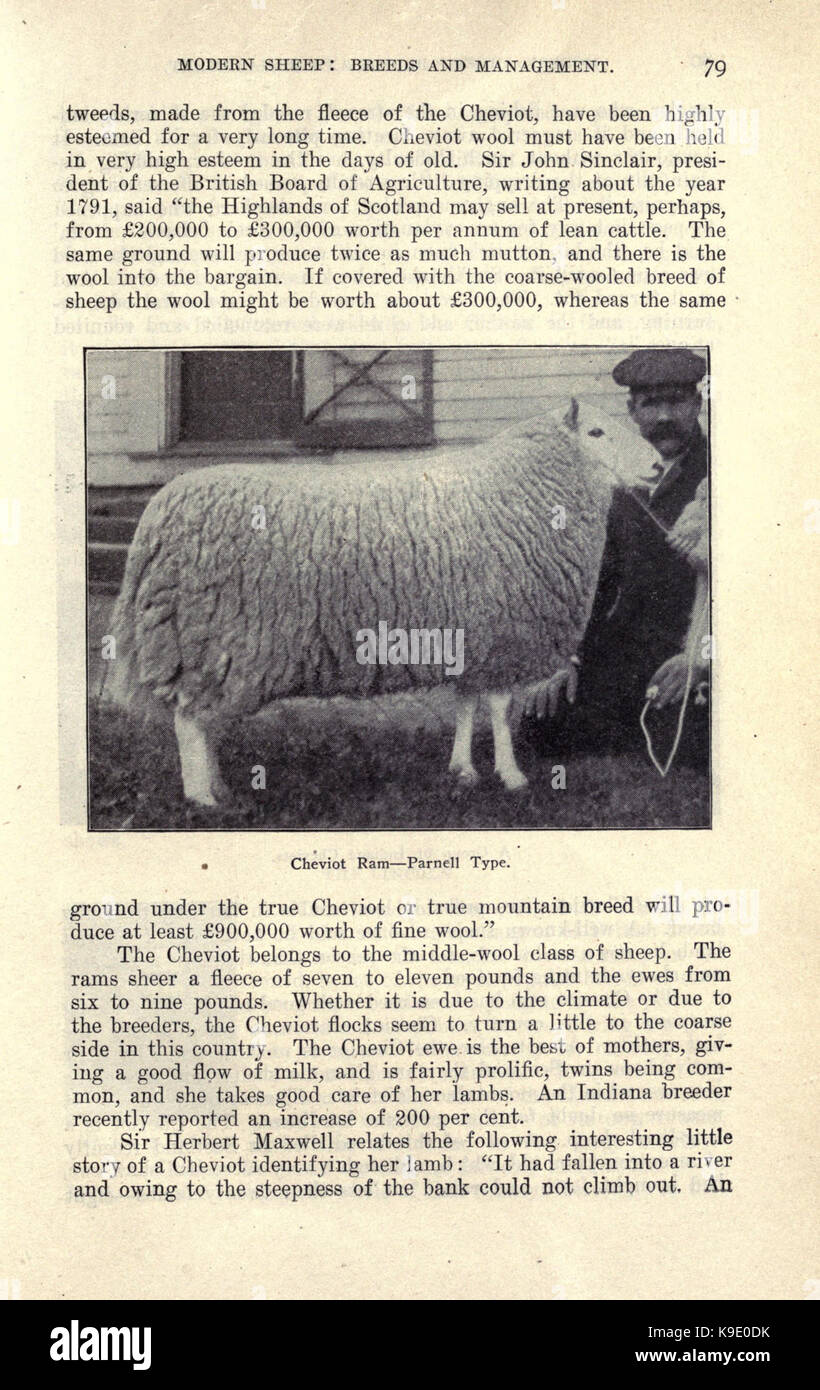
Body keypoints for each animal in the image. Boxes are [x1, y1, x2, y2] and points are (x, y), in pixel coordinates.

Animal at [104, 399, 659, 806]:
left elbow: (466, 703)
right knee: (189, 722)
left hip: (210, 647)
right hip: (211, 634)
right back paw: (202, 798)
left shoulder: (471, 633)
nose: (657, 465)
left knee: (204, 720)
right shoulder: (505, 630)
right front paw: (512, 775)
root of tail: (156, 513)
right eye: (597, 433)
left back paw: (217, 786)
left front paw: (462, 770)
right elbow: (500, 711)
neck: (527, 485)